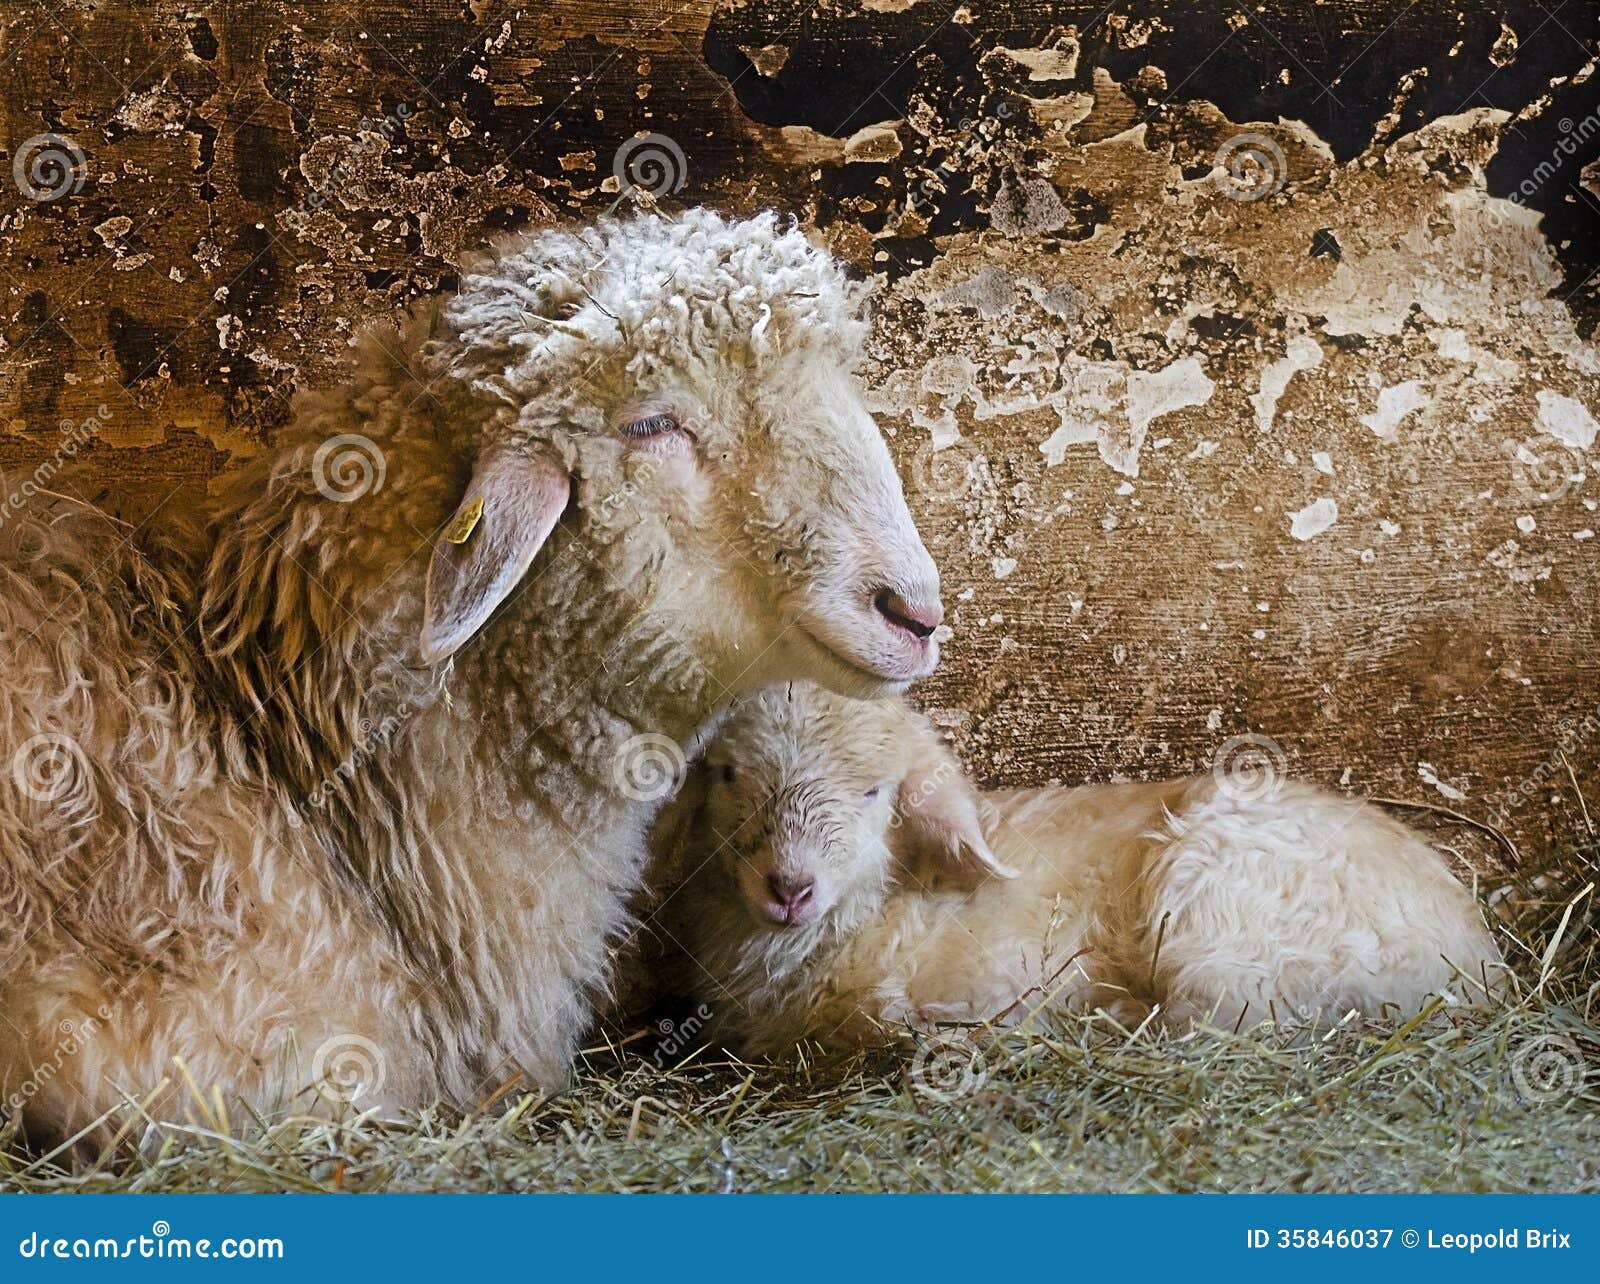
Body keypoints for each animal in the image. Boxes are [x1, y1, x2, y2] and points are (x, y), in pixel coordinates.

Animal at [660, 684, 1506, 1055]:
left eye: (873, 791)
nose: (788, 887)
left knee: (1218, 1016)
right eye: (729, 774)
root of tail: (1478, 957)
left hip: (1222, 909)